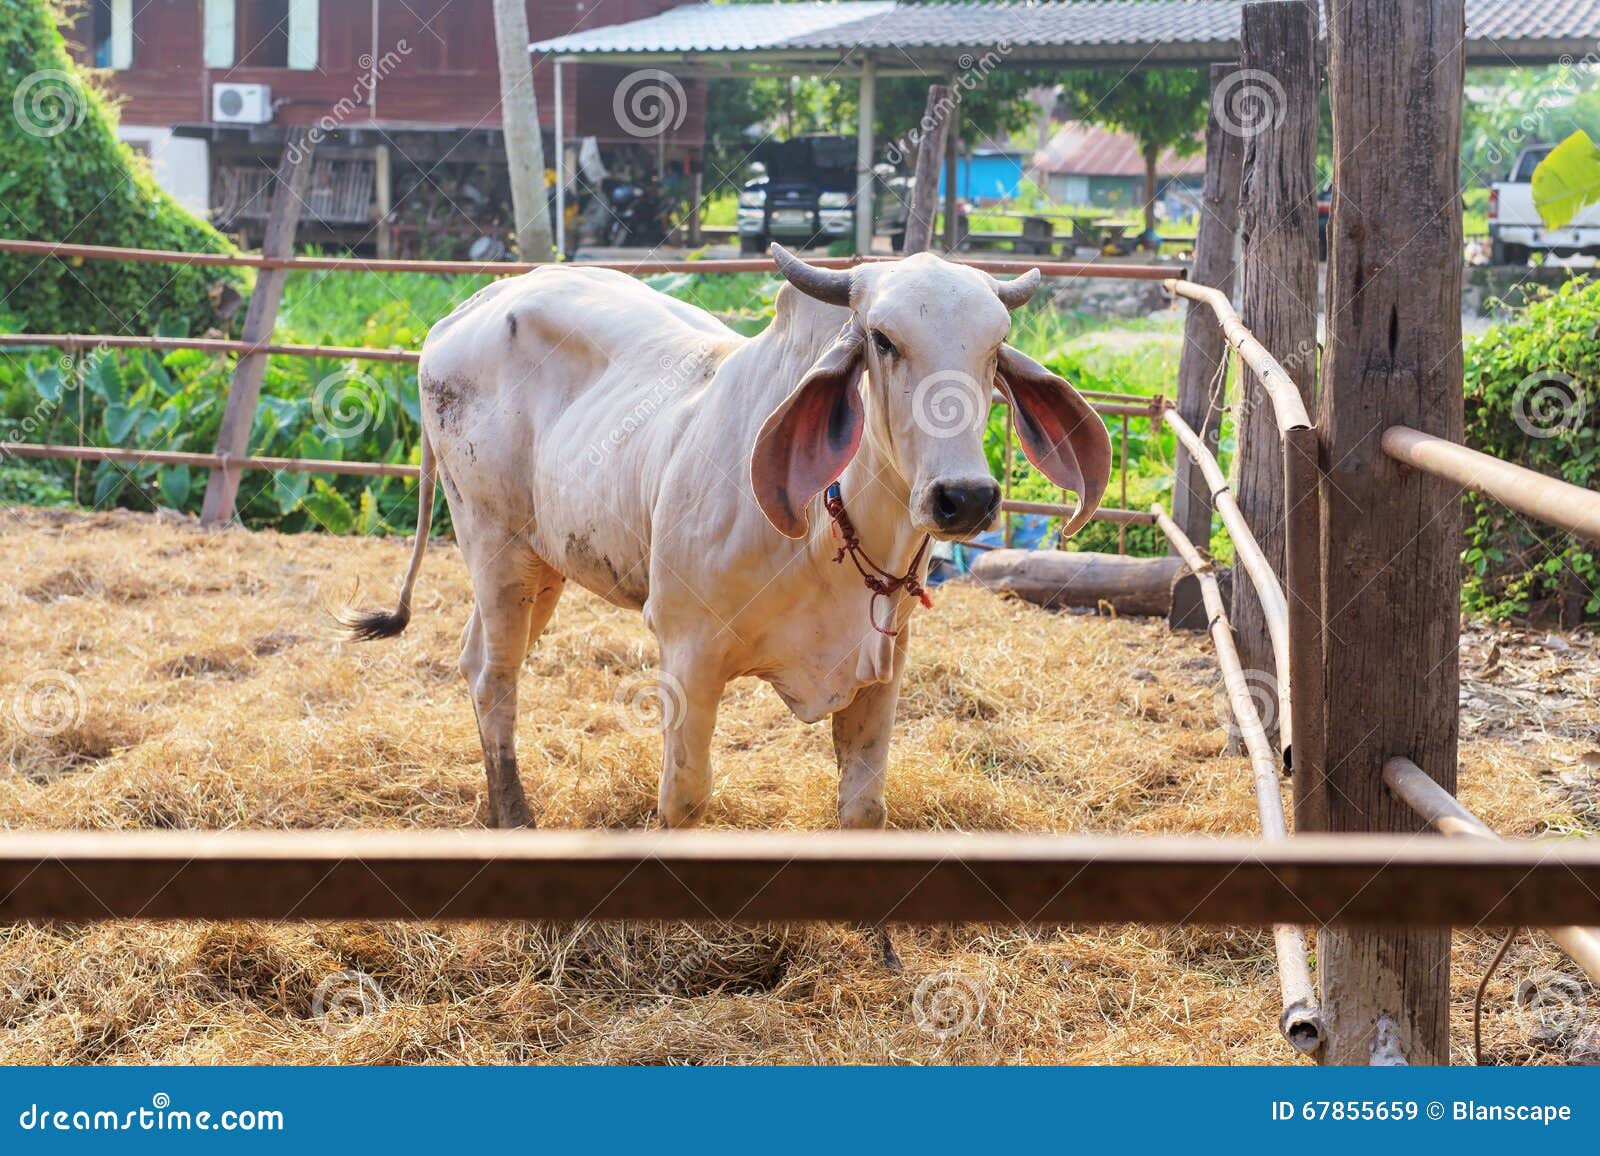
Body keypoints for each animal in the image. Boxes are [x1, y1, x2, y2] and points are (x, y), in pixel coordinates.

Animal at [342, 245, 1110, 842]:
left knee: (475, 658)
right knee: (495, 679)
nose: (965, 497)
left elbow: (863, 810)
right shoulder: (688, 657)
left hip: (543, 564)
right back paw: (515, 819)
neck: (825, 533)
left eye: (994, 348)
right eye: (883, 339)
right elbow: (683, 802)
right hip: (494, 544)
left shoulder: (882, 669)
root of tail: (471, 305)